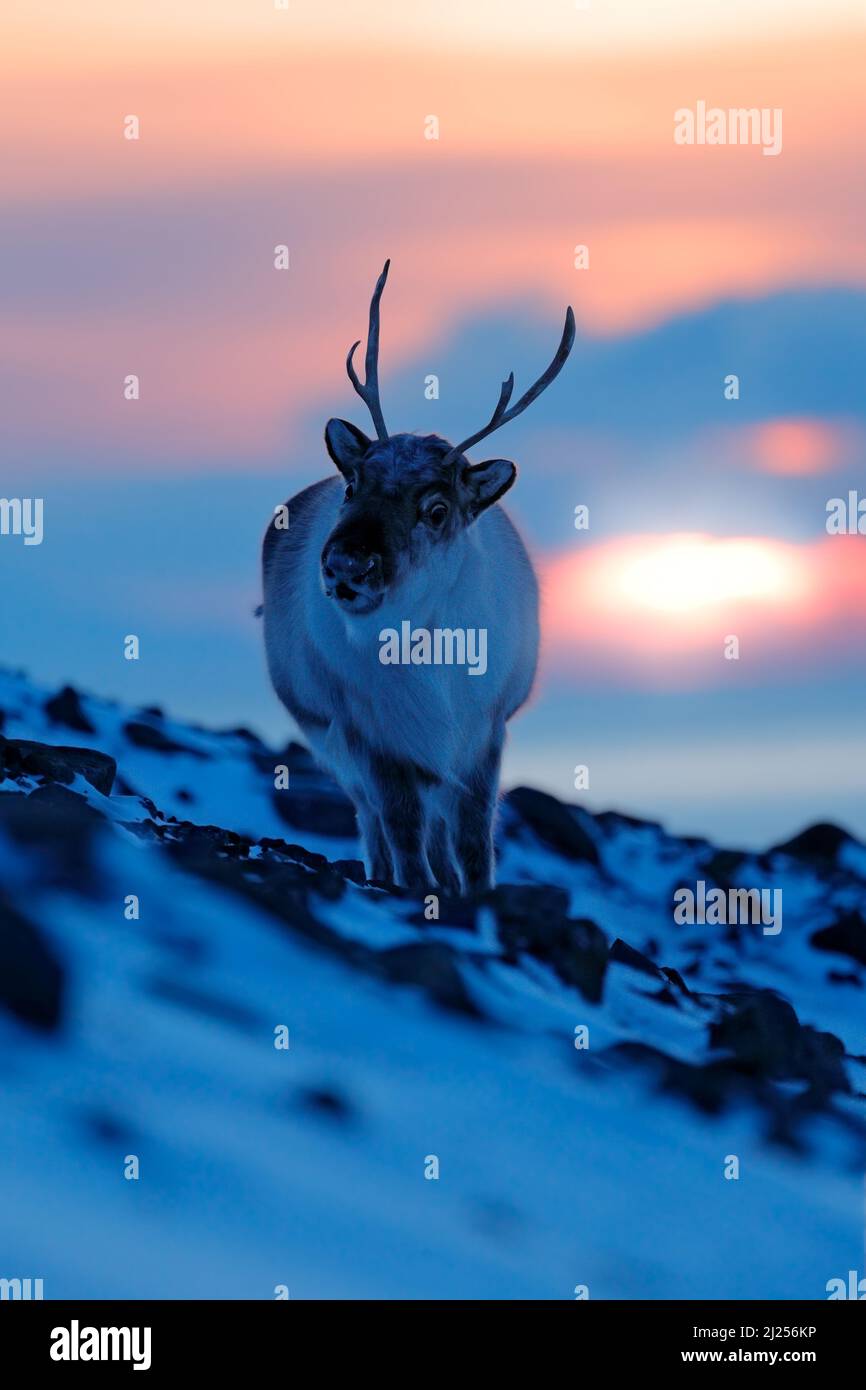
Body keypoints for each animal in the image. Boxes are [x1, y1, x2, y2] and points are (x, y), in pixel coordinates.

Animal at [262, 262, 574, 893]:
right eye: (352, 484)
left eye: (436, 509)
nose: (347, 565)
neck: (427, 659)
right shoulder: (373, 735)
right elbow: (401, 829)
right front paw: (415, 888)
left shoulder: (481, 734)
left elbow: (473, 838)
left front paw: (474, 895)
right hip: (331, 742)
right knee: (372, 817)